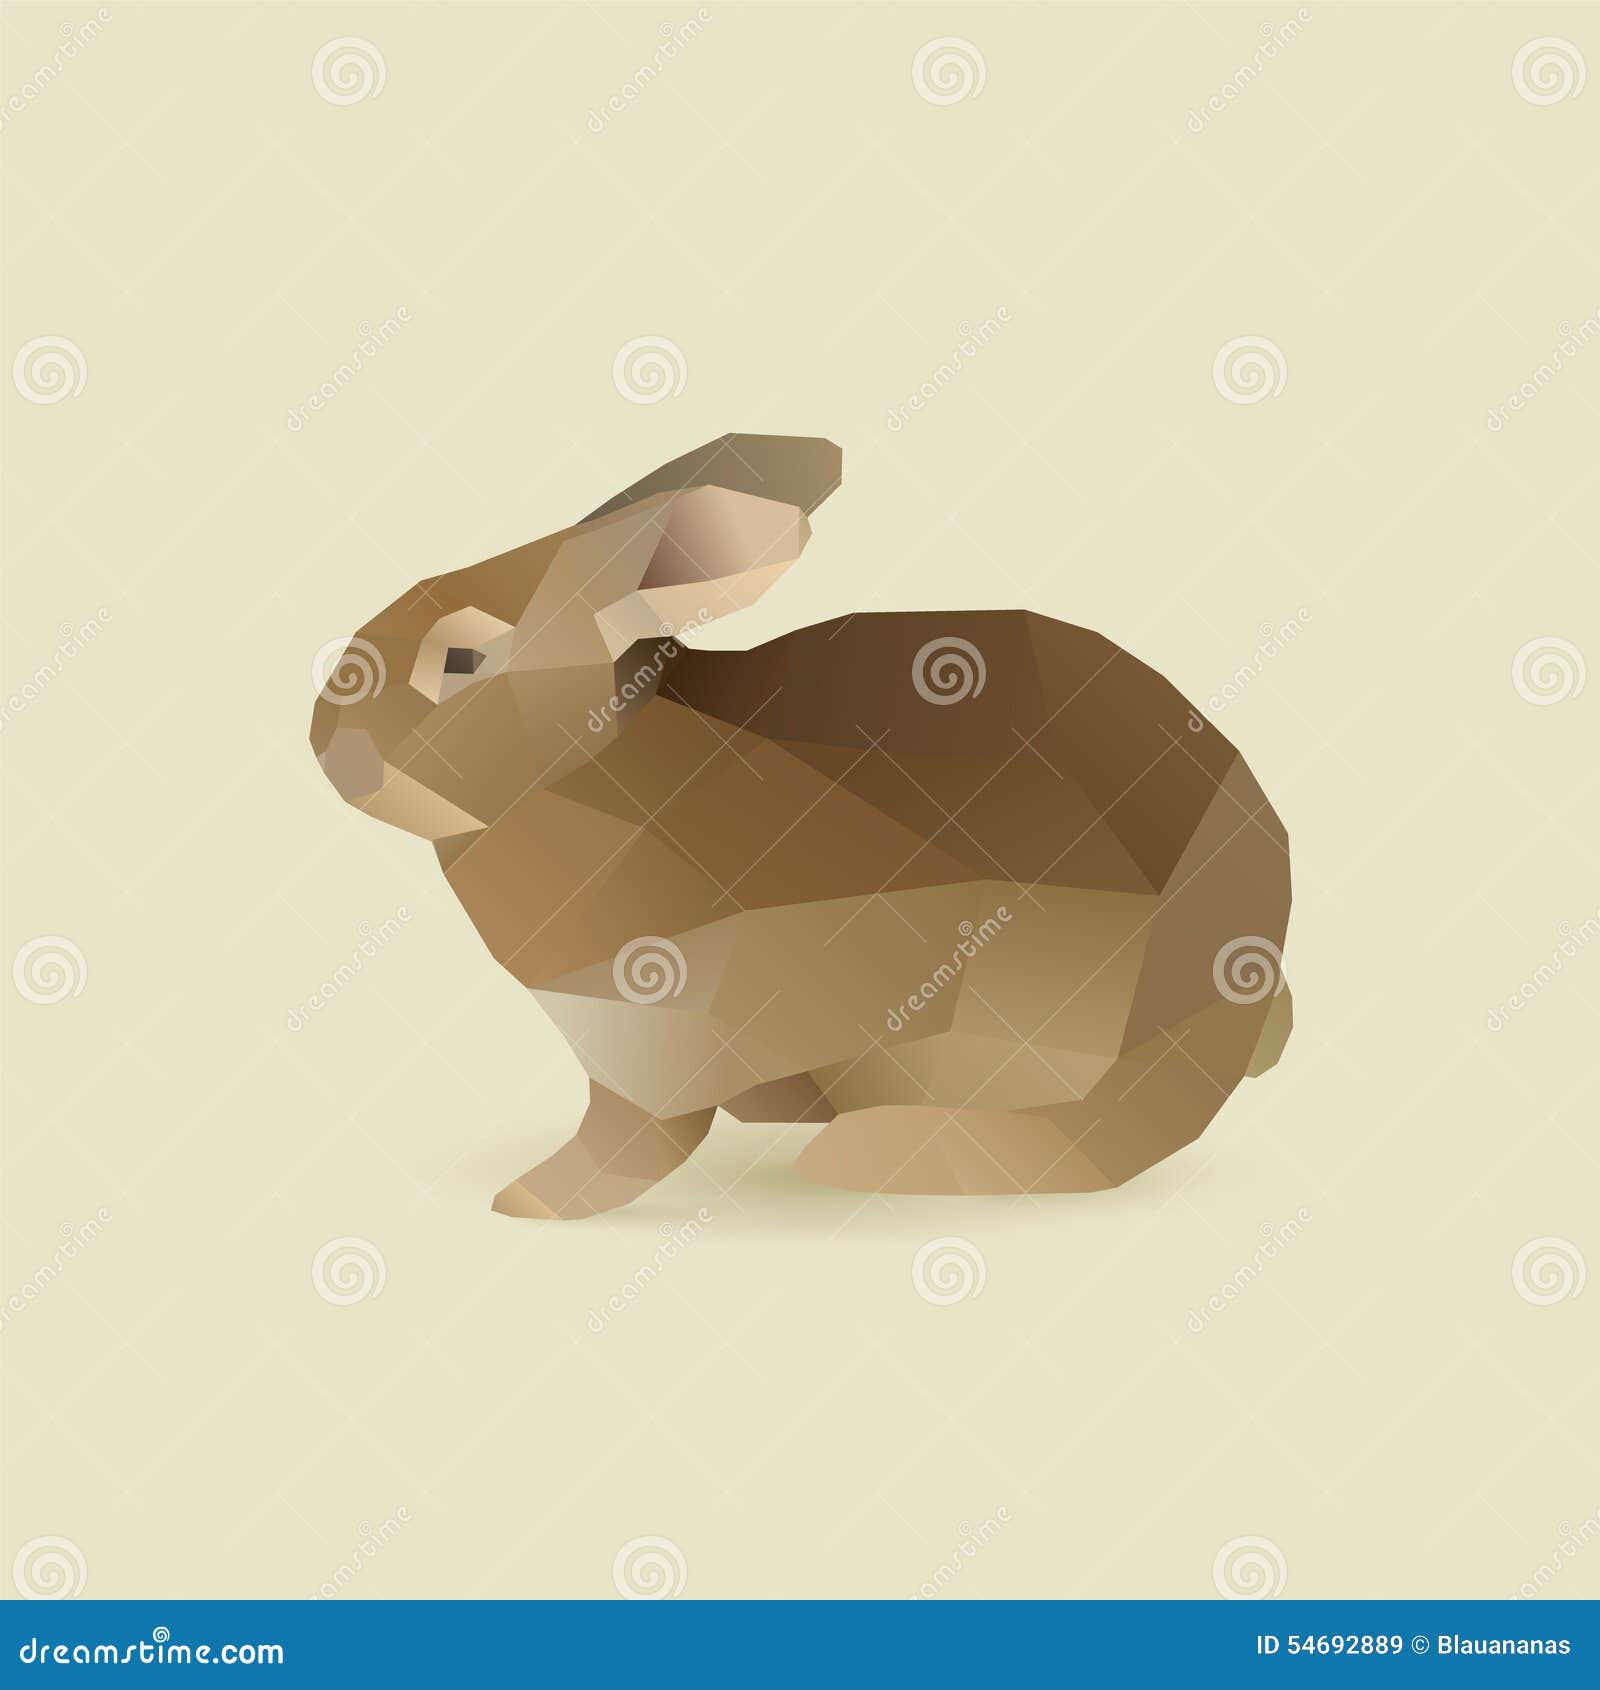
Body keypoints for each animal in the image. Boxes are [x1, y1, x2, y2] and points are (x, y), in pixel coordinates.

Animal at [310, 434, 1292, 1219]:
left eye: (463, 658)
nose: (327, 739)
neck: (590, 771)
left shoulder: (656, 1036)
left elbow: (637, 1136)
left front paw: (538, 1201)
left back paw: (873, 1153)